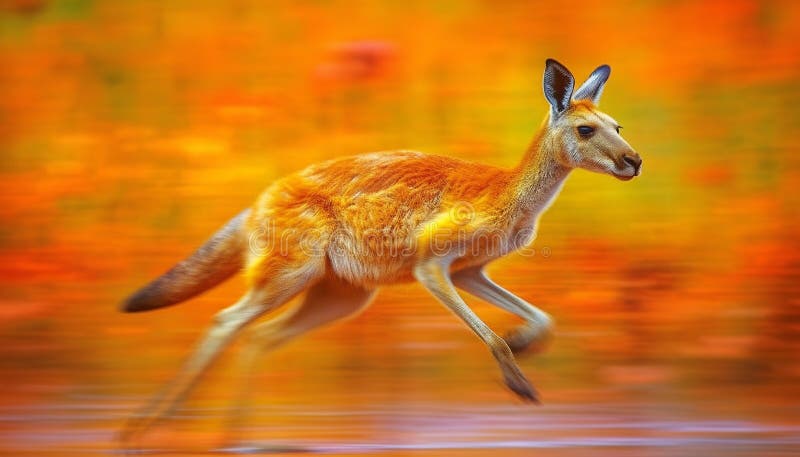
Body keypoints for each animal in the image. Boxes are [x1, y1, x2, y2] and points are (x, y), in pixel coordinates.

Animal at [119, 58, 642, 445]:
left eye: (618, 126)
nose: (635, 161)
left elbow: (541, 319)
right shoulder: (433, 267)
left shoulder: (471, 272)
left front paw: (525, 342)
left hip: (341, 296)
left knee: (260, 336)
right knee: (225, 323)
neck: (510, 194)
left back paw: (234, 436)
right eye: (586, 131)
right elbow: (490, 336)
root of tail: (259, 200)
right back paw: (155, 426)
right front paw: (518, 380)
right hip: (291, 274)